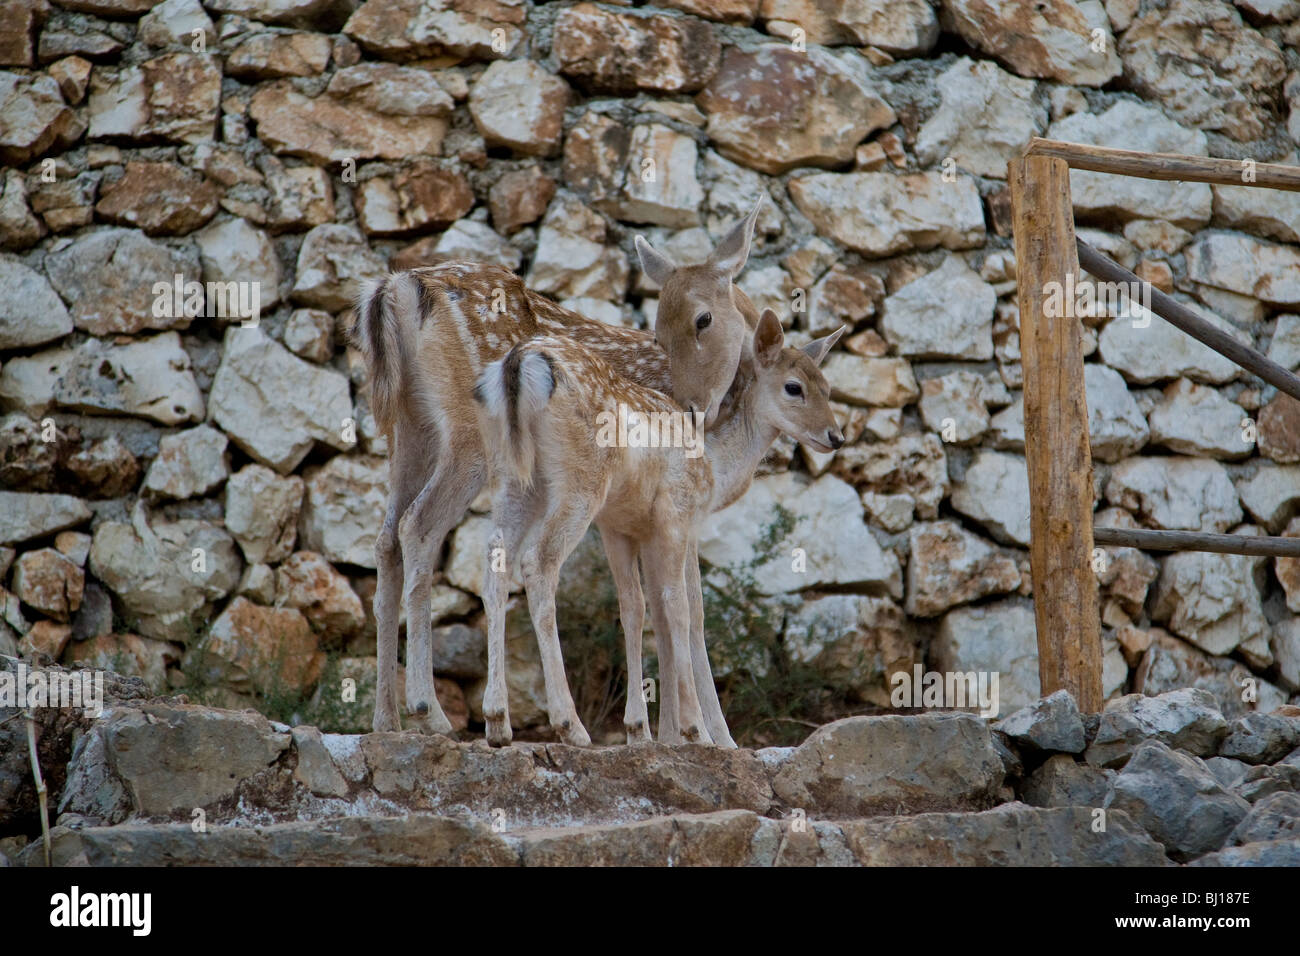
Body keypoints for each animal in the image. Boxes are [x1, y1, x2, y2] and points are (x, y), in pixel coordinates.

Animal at [349, 200, 764, 736]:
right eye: (661, 330)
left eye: (702, 319)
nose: (689, 409)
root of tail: (394, 289)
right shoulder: (681, 501)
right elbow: (687, 606)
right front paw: (712, 735)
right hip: (469, 438)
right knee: (420, 526)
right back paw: (434, 711)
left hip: (408, 427)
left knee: (386, 538)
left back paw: (387, 719)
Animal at [474, 309, 845, 747]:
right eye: (794, 387)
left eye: (828, 386)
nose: (836, 436)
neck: (717, 466)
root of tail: (520, 361)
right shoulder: (678, 513)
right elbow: (684, 610)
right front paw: (703, 733)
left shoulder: (622, 527)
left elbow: (637, 608)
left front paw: (647, 731)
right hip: (579, 483)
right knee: (538, 562)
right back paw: (571, 726)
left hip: (511, 479)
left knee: (495, 564)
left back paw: (497, 721)